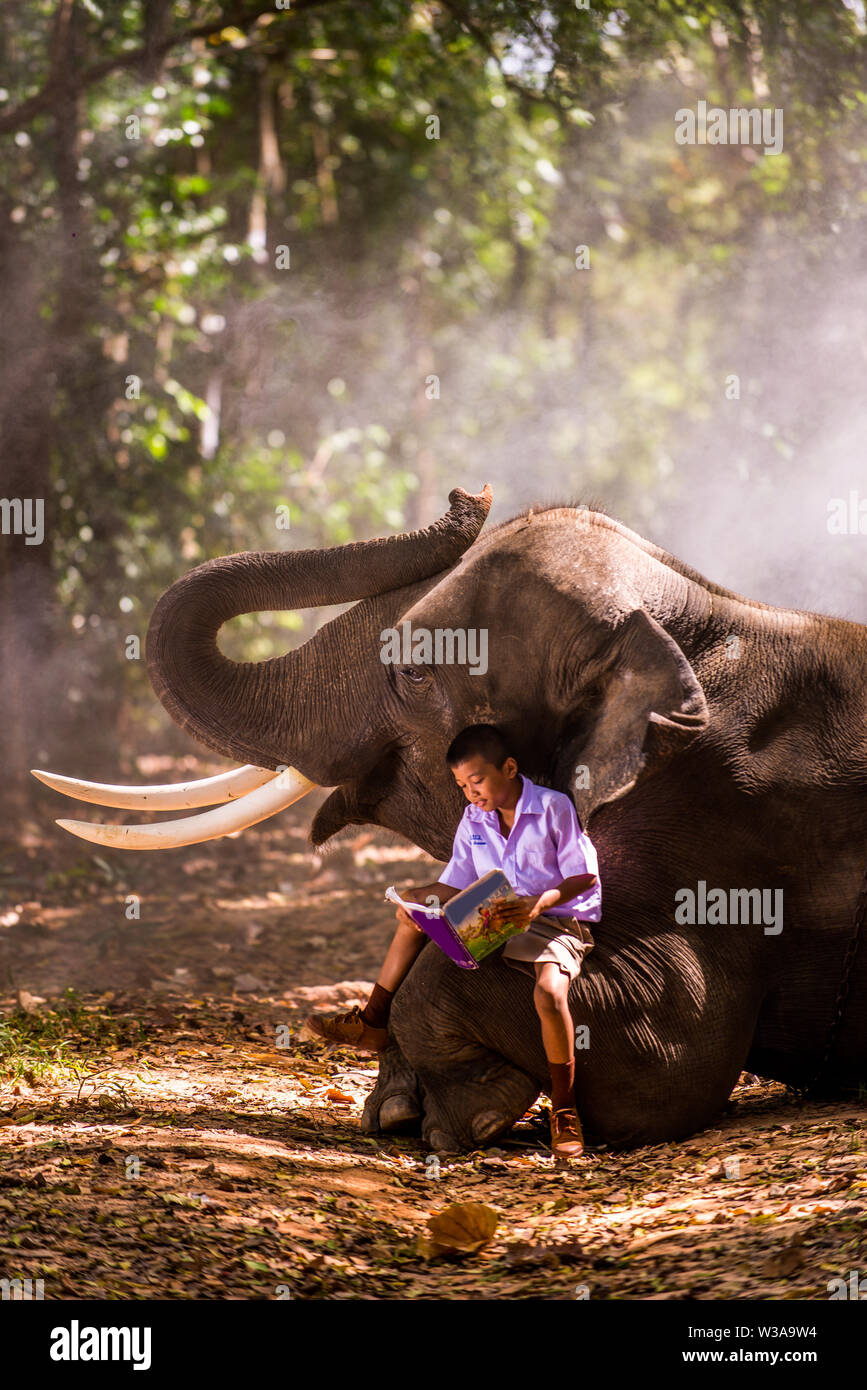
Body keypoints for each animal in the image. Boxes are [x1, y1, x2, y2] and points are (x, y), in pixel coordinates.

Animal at [34, 485, 867, 1152]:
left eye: (410, 671)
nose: (470, 498)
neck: (695, 617)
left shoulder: (727, 826)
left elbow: (672, 1057)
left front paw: (459, 1118)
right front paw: (396, 1105)